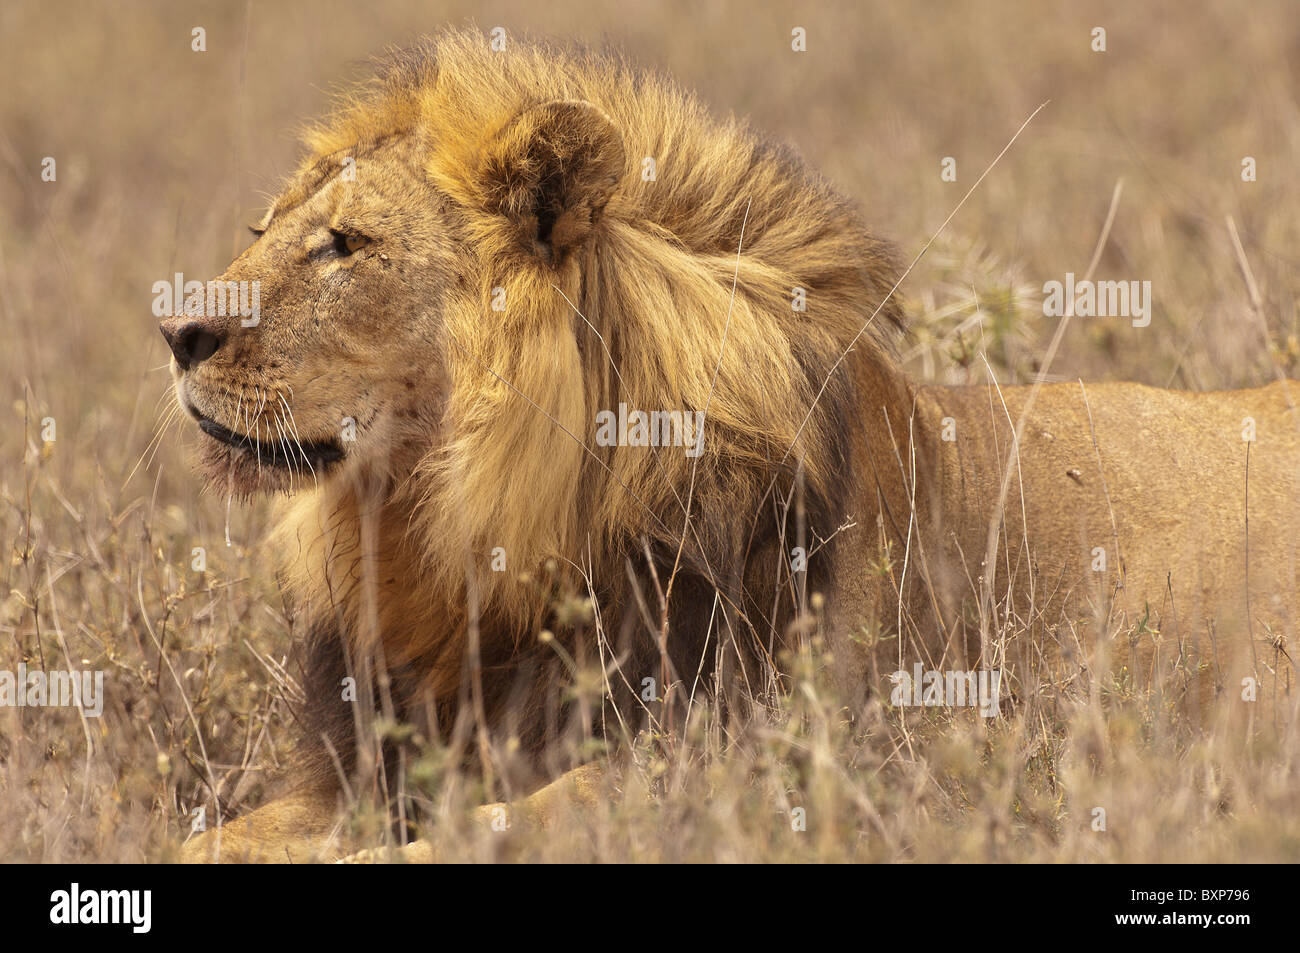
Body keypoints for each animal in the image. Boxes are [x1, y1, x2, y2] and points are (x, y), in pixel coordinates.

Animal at [163, 30, 1299, 862]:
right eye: (267, 228)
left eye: (345, 245)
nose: (175, 330)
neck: (440, 527)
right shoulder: (382, 751)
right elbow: (212, 839)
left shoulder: (732, 750)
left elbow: (495, 827)